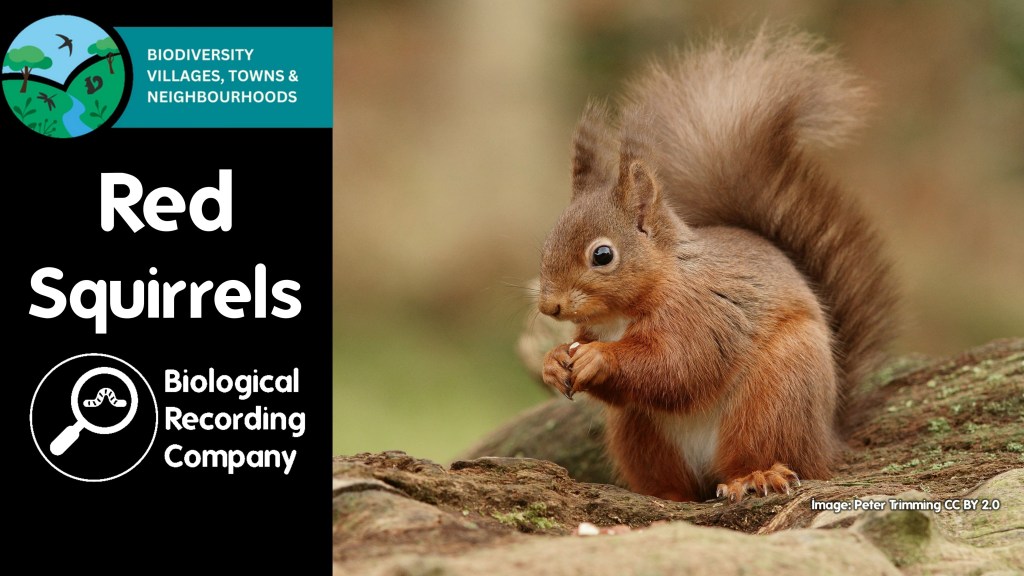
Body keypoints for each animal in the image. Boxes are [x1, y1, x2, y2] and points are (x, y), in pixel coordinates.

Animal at [537, 30, 898, 502]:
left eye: (602, 255)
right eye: (547, 239)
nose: (549, 307)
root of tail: (827, 439)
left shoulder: (702, 314)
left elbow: (678, 366)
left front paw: (600, 357)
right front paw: (553, 360)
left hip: (776, 396)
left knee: (762, 453)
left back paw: (756, 476)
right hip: (639, 432)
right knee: (675, 481)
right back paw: (667, 495)